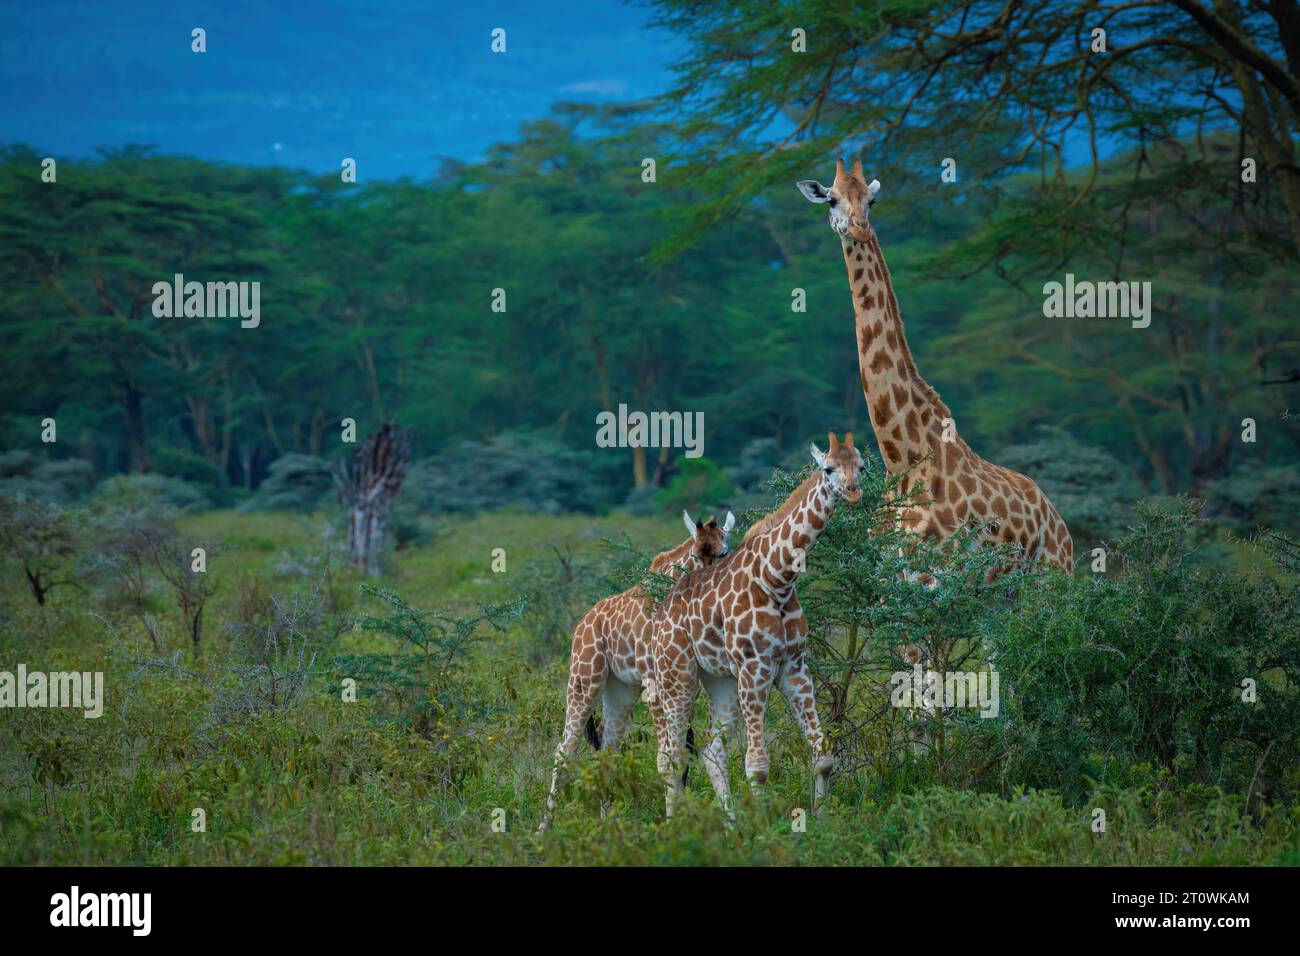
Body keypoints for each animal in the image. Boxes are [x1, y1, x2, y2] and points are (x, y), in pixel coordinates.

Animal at [538, 510, 734, 833]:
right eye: (695, 554)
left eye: (723, 553)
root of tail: (582, 623)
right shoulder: (656, 682)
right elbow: (667, 758)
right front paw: (673, 825)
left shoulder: (685, 684)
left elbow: (684, 755)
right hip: (583, 678)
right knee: (563, 750)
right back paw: (543, 830)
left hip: (620, 689)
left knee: (606, 749)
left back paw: (608, 823)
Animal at [648, 432, 863, 818]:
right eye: (828, 468)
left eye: (863, 466)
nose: (853, 491)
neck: (778, 578)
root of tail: (661, 612)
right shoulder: (755, 665)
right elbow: (758, 765)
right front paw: (764, 826)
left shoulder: (793, 665)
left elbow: (822, 755)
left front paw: (822, 819)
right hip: (677, 675)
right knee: (671, 755)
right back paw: (673, 824)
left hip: (719, 680)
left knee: (711, 750)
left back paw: (731, 822)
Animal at [796, 159, 1074, 574]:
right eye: (831, 199)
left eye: (872, 201)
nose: (859, 227)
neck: (902, 457)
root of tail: (1058, 522)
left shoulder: (939, 570)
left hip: (1051, 573)